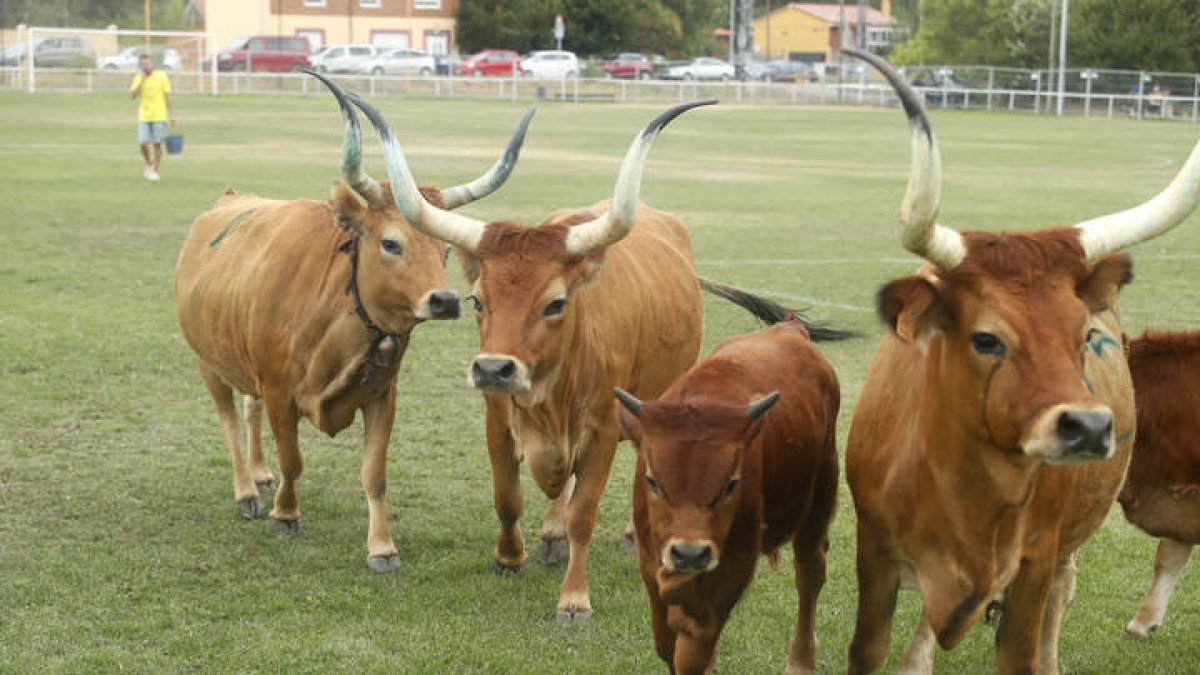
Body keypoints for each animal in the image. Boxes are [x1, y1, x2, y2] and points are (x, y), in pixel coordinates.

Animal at [174, 72, 532, 573]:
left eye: (444, 250)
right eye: (391, 243)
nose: (444, 300)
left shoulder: (382, 396)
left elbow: (374, 474)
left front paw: (381, 547)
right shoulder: (280, 390)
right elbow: (293, 459)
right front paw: (286, 514)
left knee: (248, 409)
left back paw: (259, 474)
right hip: (207, 362)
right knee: (228, 420)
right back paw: (246, 490)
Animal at [346, 96, 852, 622]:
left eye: (555, 304)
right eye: (478, 300)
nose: (492, 369)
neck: (546, 395)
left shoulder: (603, 429)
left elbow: (583, 514)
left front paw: (574, 598)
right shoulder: (498, 420)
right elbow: (508, 498)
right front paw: (510, 557)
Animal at [613, 289, 840, 675]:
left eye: (732, 484)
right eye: (652, 481)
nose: (690, 553)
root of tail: (790, 329)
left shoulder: (736, 563)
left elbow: (693, 649)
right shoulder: (649, 558)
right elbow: (666, 639)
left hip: (821, 492)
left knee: (810, 571)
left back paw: (800, 660)